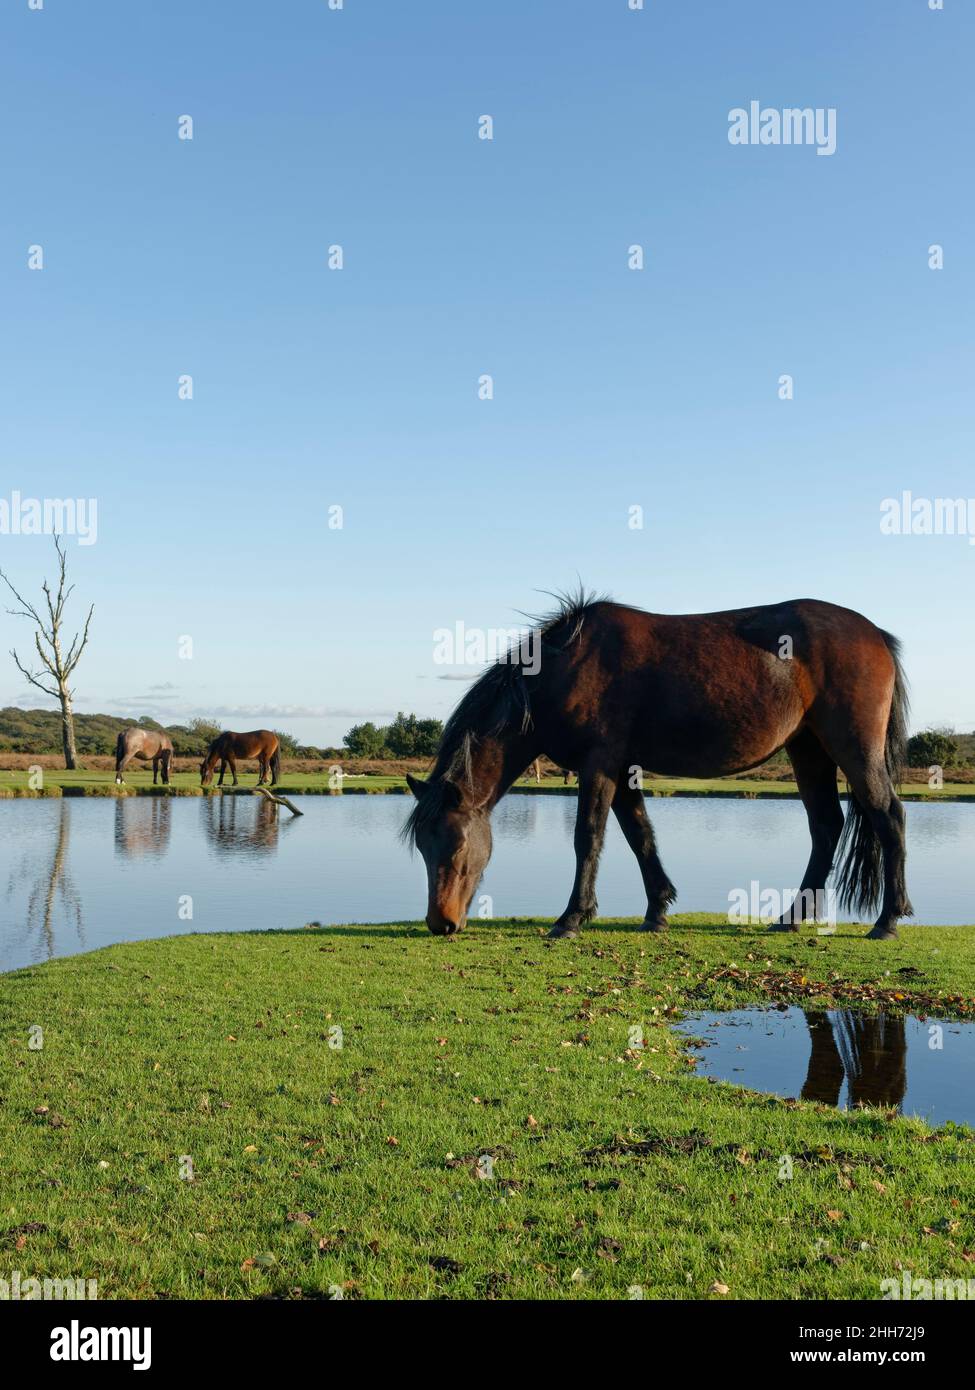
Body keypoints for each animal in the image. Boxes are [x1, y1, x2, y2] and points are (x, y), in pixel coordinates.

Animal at [404, 592, 912, 942]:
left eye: (454, 846)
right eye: (423, 847)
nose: (440, 922)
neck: (566, 667)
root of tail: (876, 634)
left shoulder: (599, 765)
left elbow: (588, 838)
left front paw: (571, 918)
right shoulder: (623, 769)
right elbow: (640, 836)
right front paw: (657, 911)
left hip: (853, 749)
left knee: (888, 817)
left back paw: (887, 920)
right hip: (808, 750)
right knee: (826, 827)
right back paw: (791, 919)